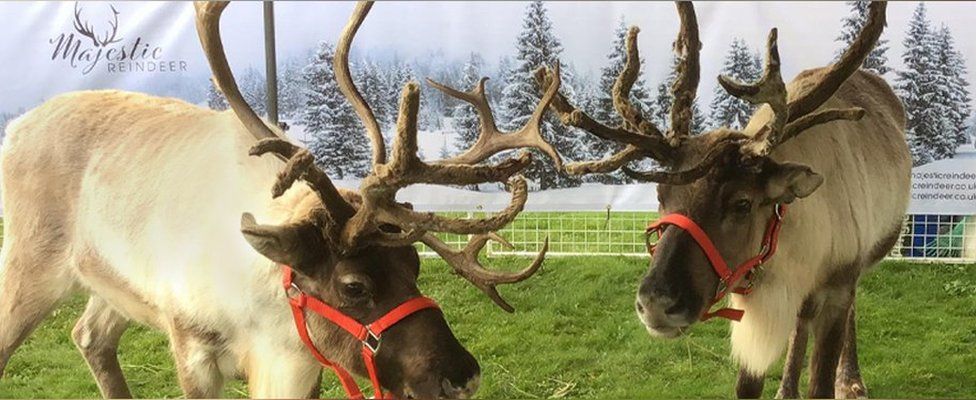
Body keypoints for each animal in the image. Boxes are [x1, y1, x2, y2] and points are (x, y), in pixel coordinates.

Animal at [0, 2, 561, 398]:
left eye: (415, 266)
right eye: (354, 286)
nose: (462, 377)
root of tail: (16, 127)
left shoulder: (305, 359)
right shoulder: (193, 350)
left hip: (113, 286)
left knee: (89, 336)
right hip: (29, 266)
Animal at [537, 2, 907, 398]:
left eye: (742, 203)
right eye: (660, 195)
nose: (655, 302)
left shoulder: (838, 286)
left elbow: (823, 373)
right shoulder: (748, 296)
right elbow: (749, 383)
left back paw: (850, 381)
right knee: (799, 324)